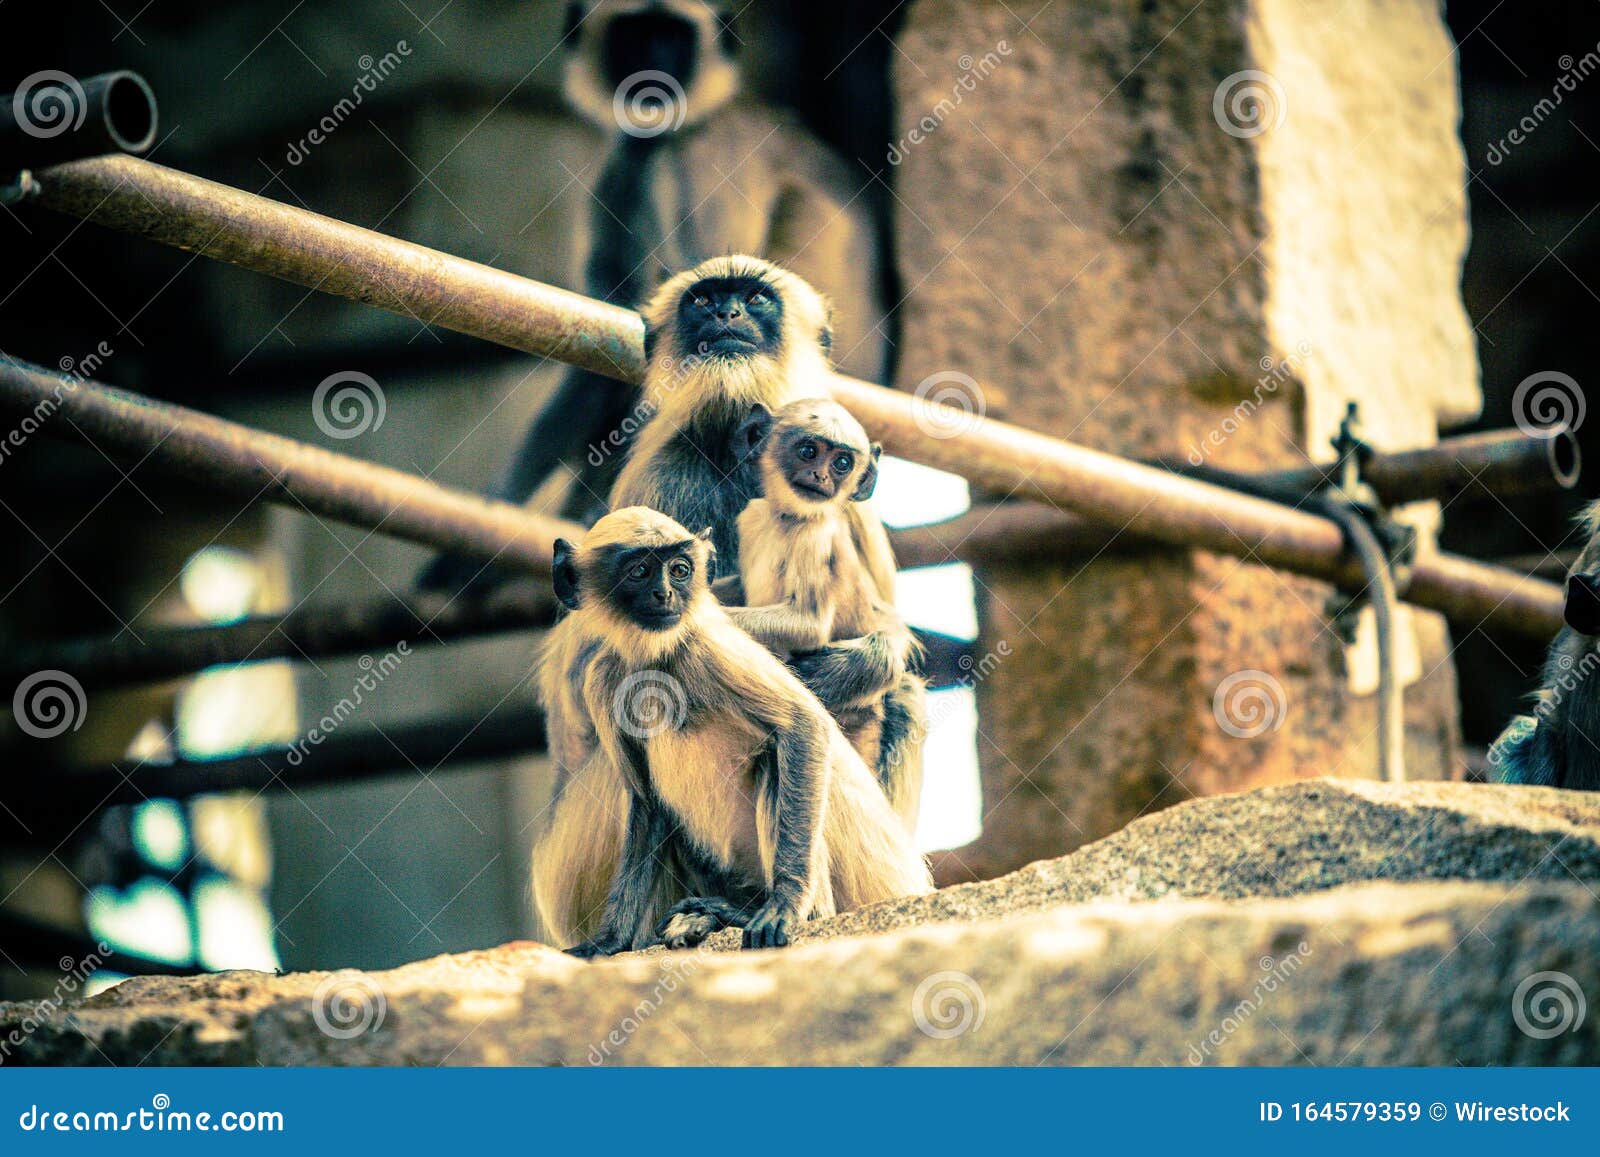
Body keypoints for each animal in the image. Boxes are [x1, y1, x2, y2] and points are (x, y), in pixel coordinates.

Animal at [532, 507, 933, 955]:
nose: (665, 595)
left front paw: (785, 906)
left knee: (773, 760)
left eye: (680, 570)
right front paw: (608, 941)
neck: (653, 661)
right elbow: (647, 798)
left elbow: (803, 726)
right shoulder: (603, 677)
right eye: (639, 572)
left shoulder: (706, 646)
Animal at [723, 397, 927, 825]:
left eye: (842, 463)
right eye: (808, 451)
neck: (783, 520)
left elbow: (809, 626)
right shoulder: (752, 516)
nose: (820, 475)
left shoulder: (816, 537)